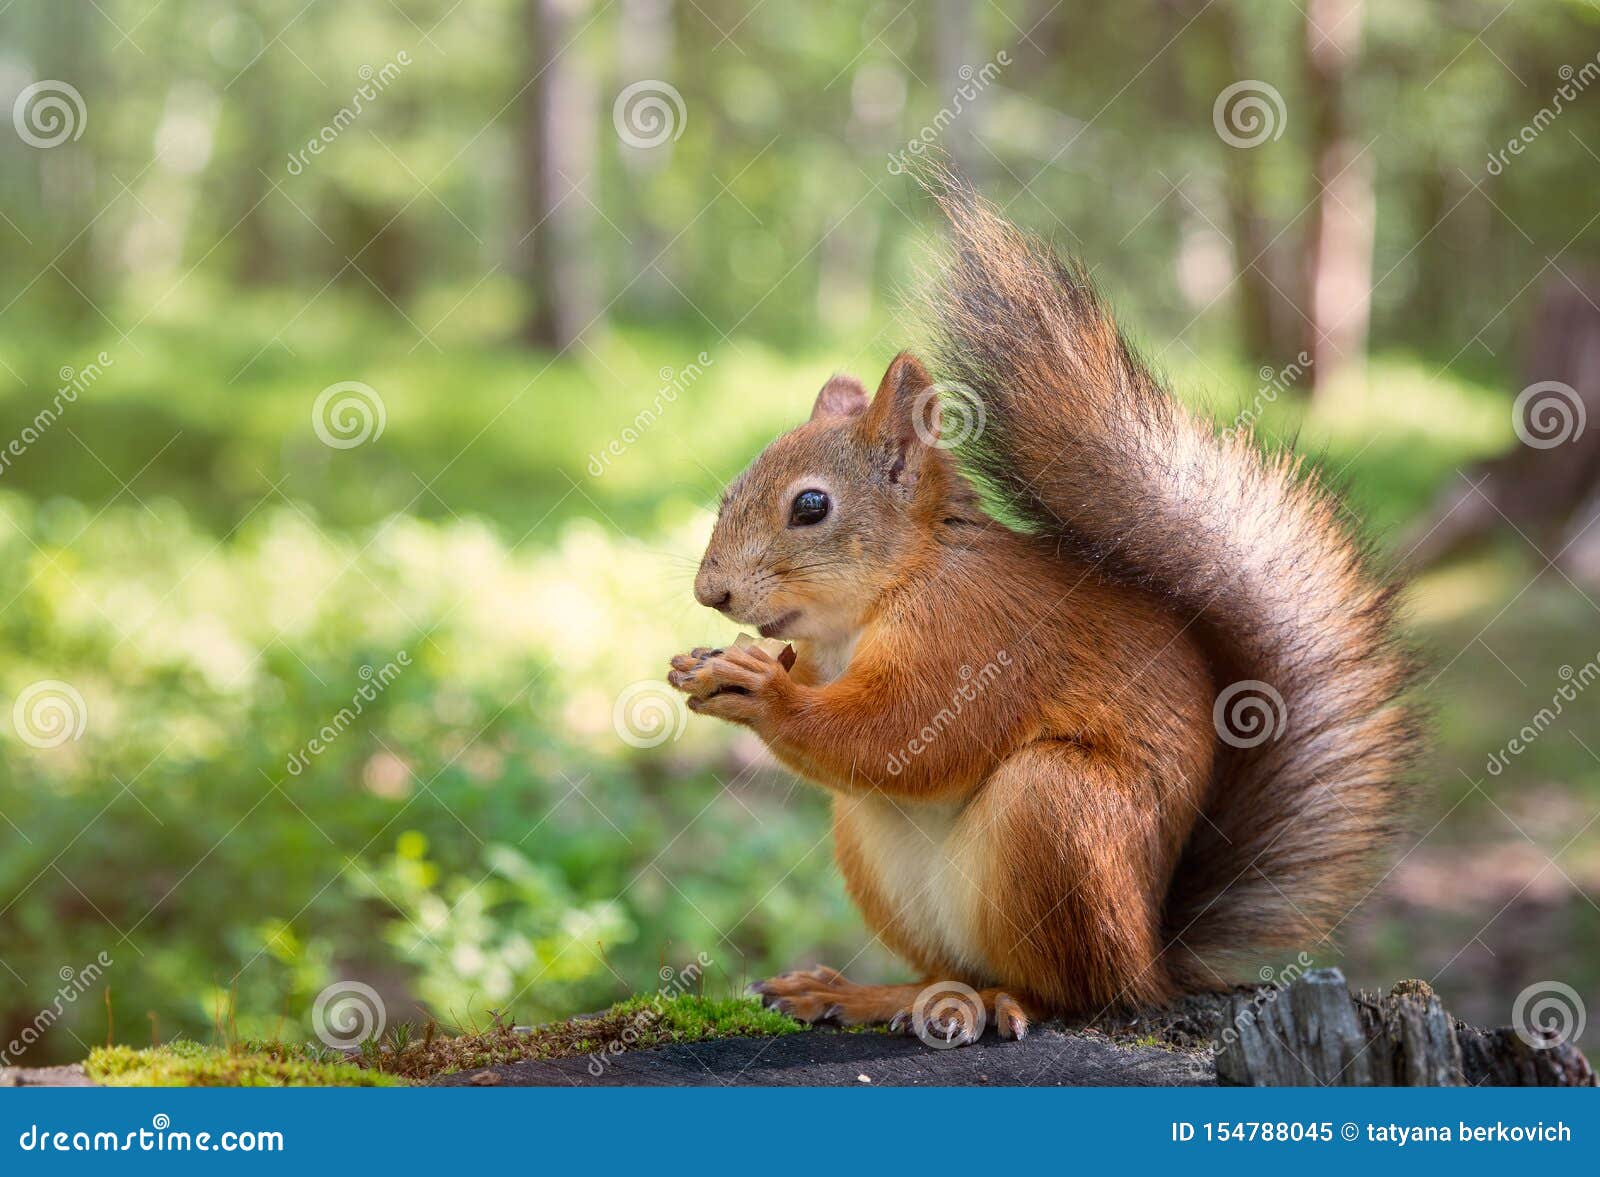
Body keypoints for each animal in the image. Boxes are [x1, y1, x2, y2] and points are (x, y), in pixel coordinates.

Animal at [666, 182, 1419, 1044]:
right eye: (733, 488)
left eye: (811, 506)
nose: (711, 592)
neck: (895, 585)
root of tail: (1154, 961)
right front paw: (709, 664)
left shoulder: (972, 635)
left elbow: (901, 734)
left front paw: (760, 691)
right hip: (872, 844)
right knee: (948, 966)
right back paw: (872, 993)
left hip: (1058, 811)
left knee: (1071, 991)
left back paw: (1000, 1002)